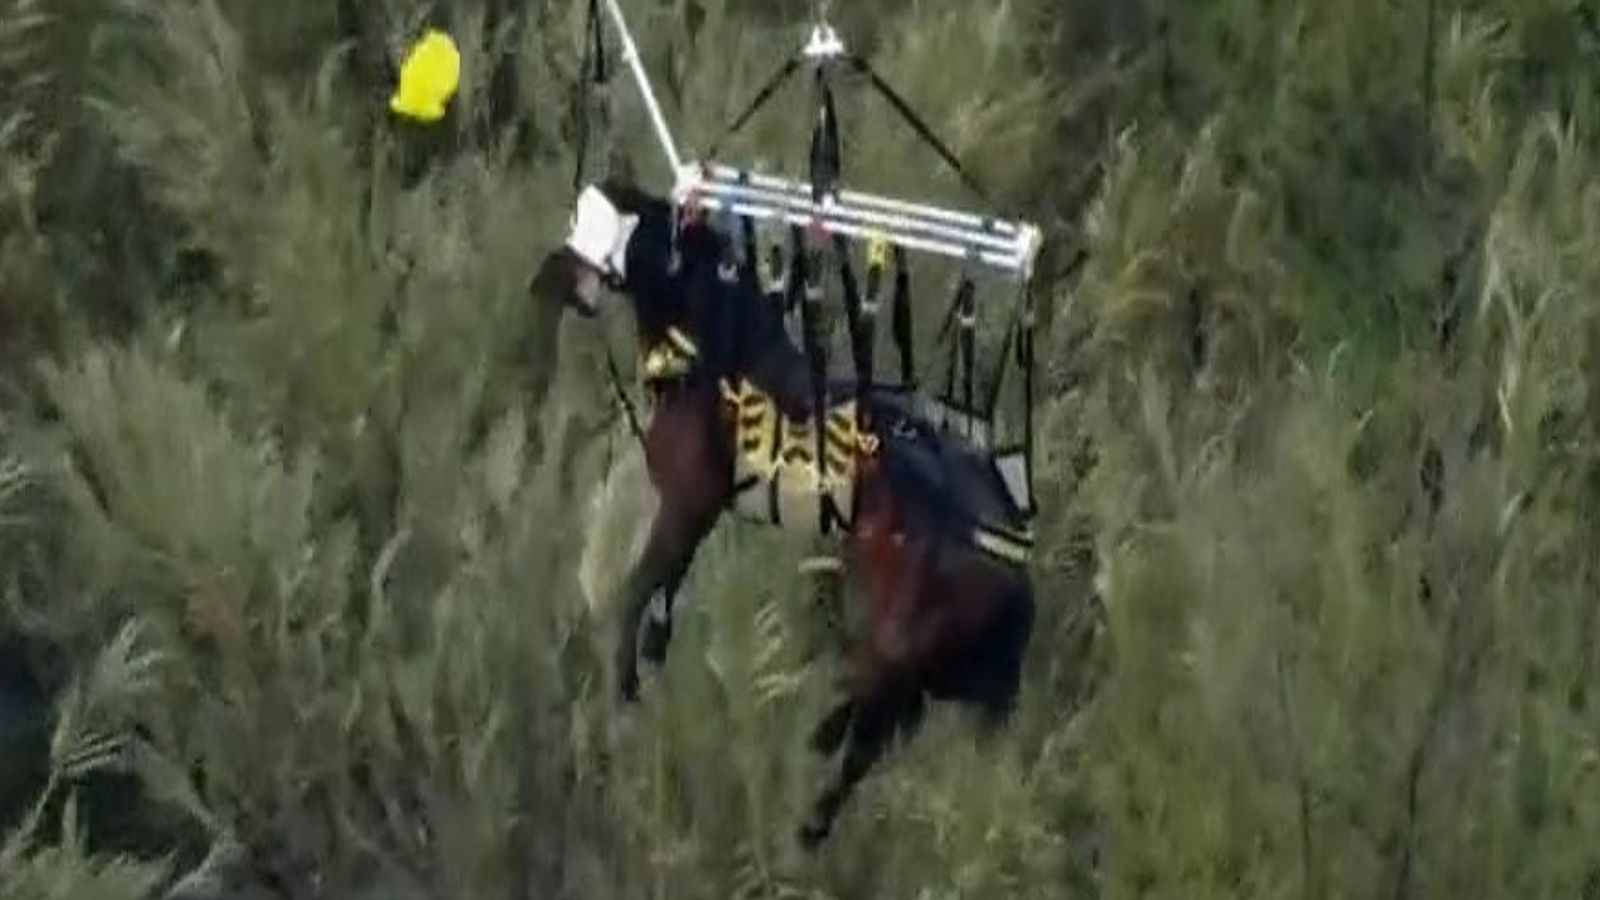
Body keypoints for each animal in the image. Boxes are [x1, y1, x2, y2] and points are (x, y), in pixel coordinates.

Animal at [530, 177, 1037, 848]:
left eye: (593, 226)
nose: (545, 280)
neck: (721, 354)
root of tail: (1013, 573)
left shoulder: (687, 504)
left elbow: (639, 592)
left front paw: (625, 689)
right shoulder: (698, 514)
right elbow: (661, 598)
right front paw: (645, 673)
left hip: (894, 644)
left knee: (870, 730)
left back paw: (809, 806)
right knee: (877, 720)